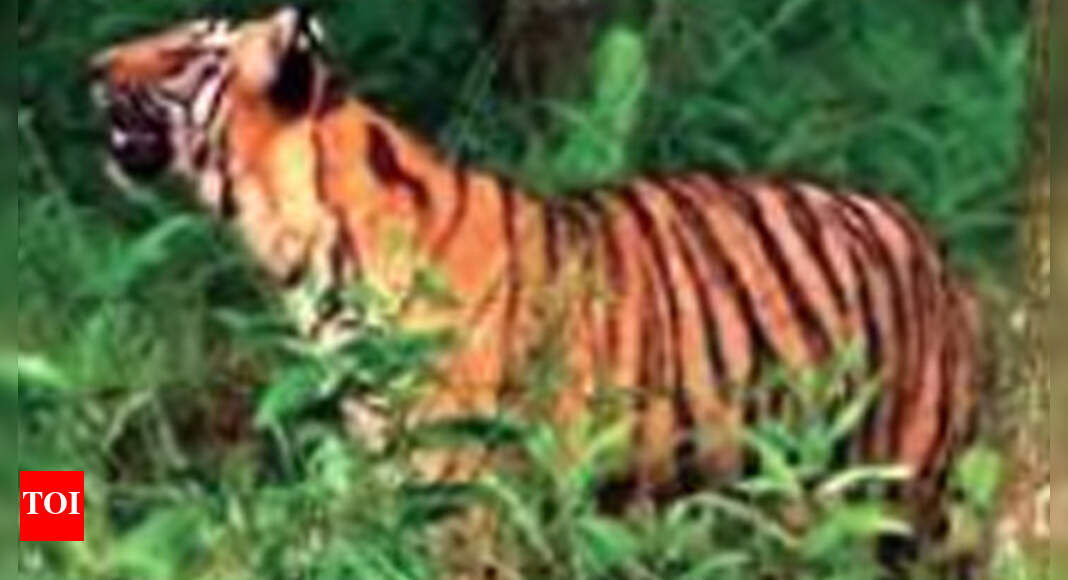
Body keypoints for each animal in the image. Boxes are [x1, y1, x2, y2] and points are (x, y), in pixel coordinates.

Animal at [90, 4, 980, 546]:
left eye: (187, 52)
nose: (94, 66)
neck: (301, 252)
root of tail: (927, 240)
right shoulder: (384, 460)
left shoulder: (466, 489)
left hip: (907, 486)